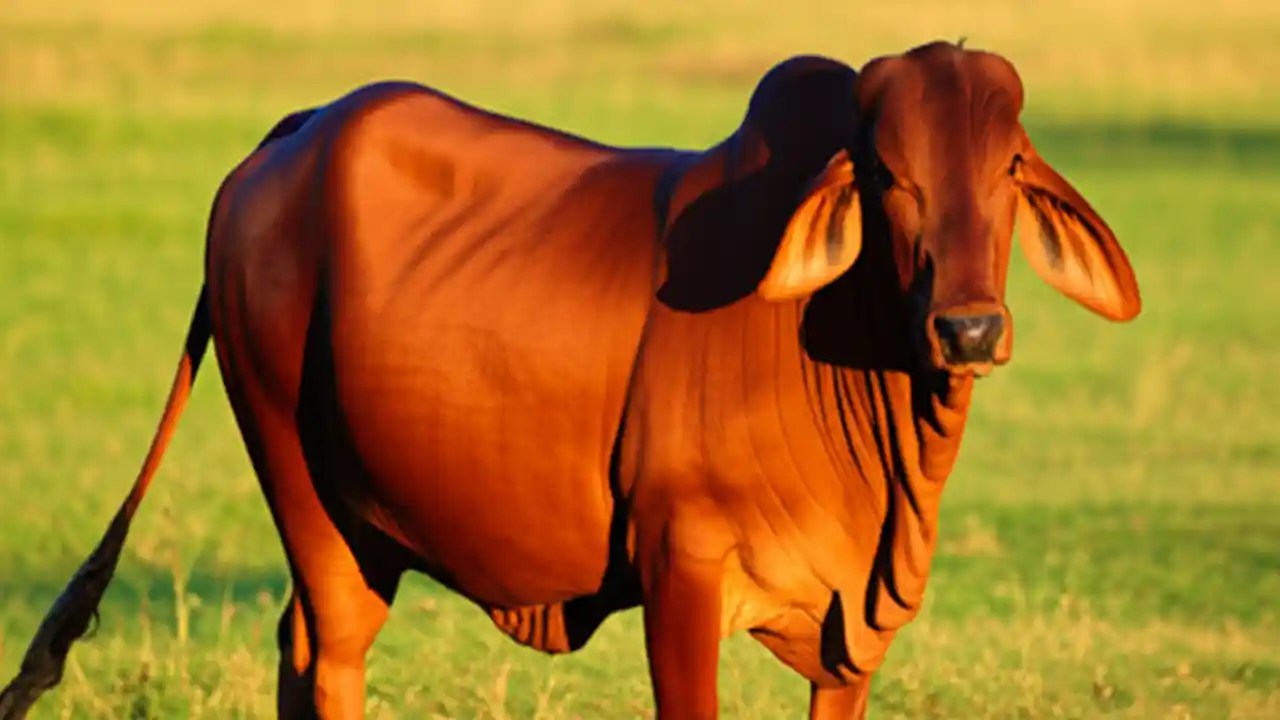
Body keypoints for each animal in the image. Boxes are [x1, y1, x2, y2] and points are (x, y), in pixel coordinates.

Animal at [0, 40, 1140, 719]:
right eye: (888, 176)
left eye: (1007, 168)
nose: (968, 327)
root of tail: (293, 131)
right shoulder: (681, 565)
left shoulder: (849, 632)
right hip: (300, 482)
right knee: (329, 651)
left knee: (297, 645)